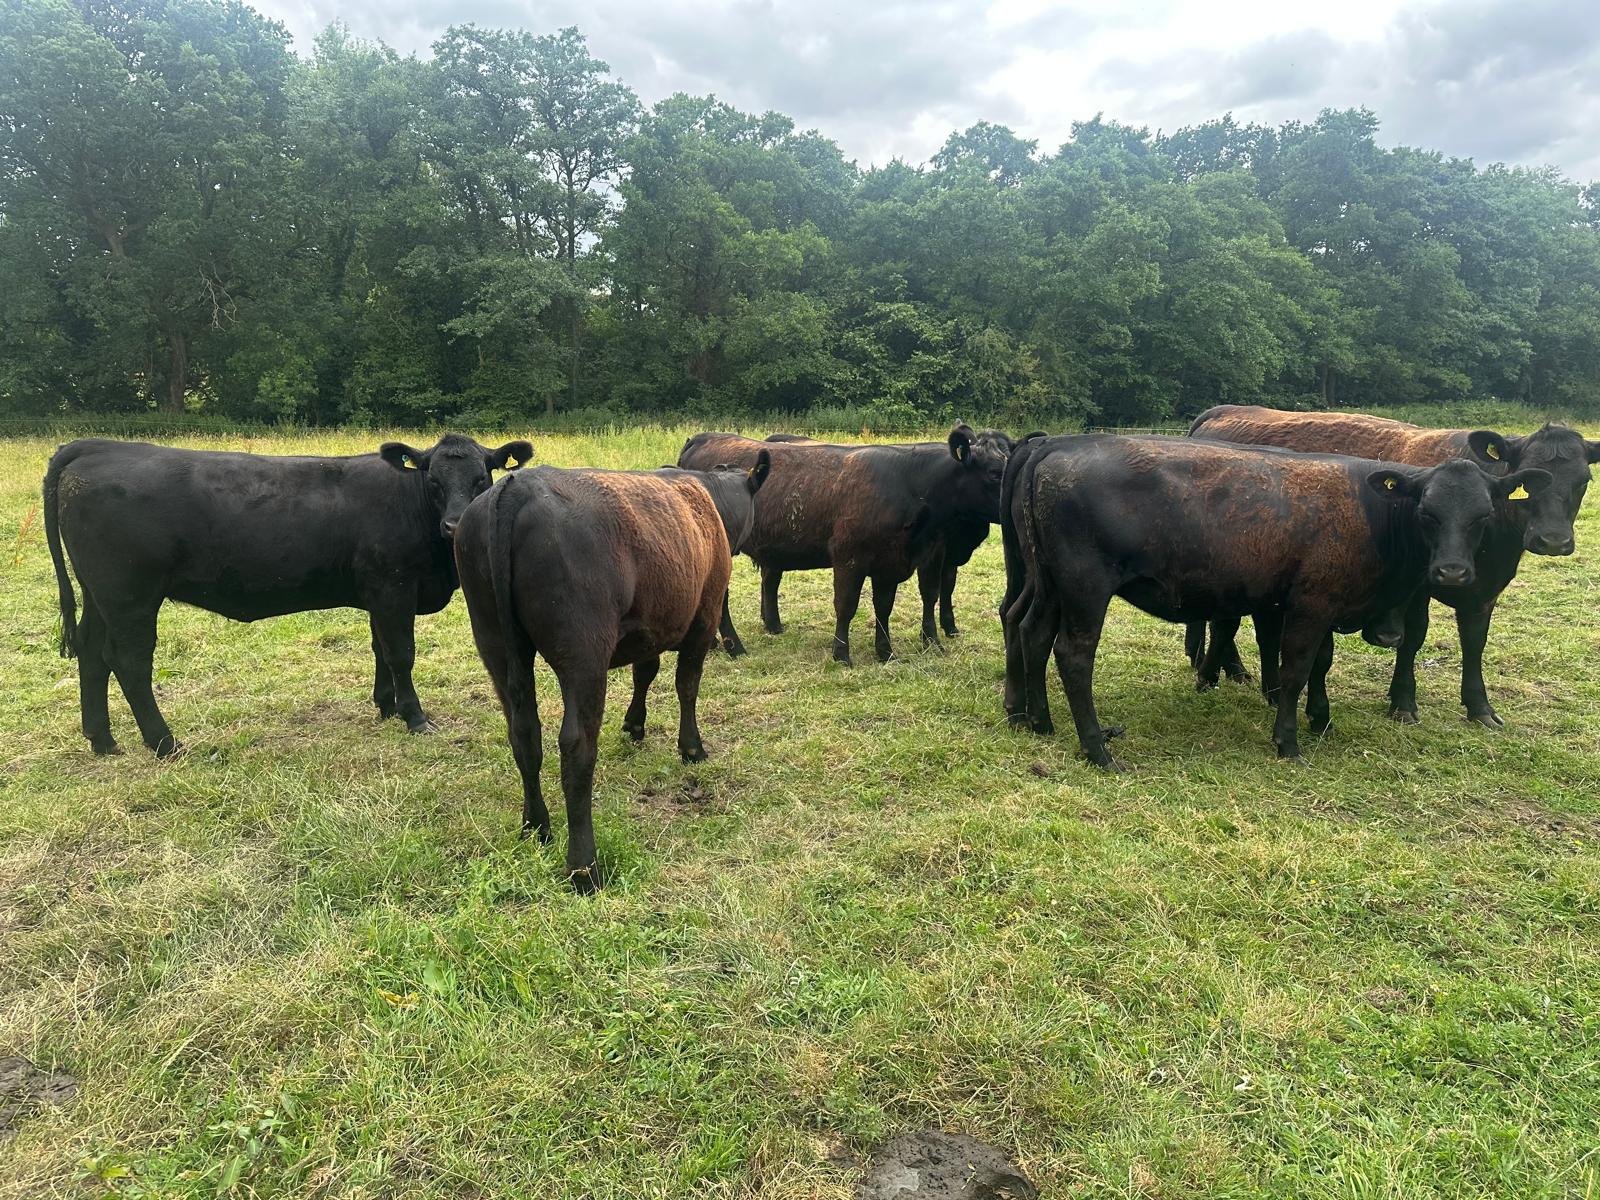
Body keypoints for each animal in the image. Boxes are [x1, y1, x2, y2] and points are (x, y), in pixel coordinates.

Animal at [42, 434, 531, 756]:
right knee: (128, 661)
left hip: (99, 594)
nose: (455, 524)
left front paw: (386, 706)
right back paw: (164, 742)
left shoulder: (378, 594)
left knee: (91, 652)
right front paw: (414, 716)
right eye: (432, 480)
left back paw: (102, 740)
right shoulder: (393, 588)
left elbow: (379, 648)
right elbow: (400, 653)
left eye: (482, 478)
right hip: (130, 596)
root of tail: (100, 446)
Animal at [453, 454, 770, 891]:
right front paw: (691, 747)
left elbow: (645, 672)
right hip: (583, 652)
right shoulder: (702, 619)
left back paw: (536, 827)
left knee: (523, 733)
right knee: (576, 747)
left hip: (495, 642)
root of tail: (515, 487)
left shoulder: (649, 626)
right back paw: (584, 867)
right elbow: (686, 686)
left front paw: (635, 724)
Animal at [678, 425, 1010, 664]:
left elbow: (887, 606)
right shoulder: (849, 556)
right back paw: (734, 647)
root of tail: (702, 437)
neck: (909, 484)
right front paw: (841, 654)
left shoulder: (897, 560)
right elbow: (846, 605)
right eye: (995, 473)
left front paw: (886, 652)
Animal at [1000, 434, 1552, 769]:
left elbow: (1321, 665)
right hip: (1085, 589)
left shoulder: (1321, 608)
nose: (1451, 572)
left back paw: (1039, 722)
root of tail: (1058, 445)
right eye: (1426, 512)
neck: (1372, 513)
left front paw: (1321, 719)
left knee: (1031, 633)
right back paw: (1096, 747)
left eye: (1483, 515)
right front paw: (1288, 741)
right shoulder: (1311, 606)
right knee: (1073, 656)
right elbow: (1295, 669)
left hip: (1049, 586)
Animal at [1188, 404, 1597, 726]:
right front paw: (1403, 701)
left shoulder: (1484, 592)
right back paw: (1217, 665)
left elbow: (1474, 642)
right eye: (1530, 481)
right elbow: (1414, 637)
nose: (1553, 540)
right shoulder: (1414, 588)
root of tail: (1221, 411)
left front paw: (1479, 707)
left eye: (1584, 480)